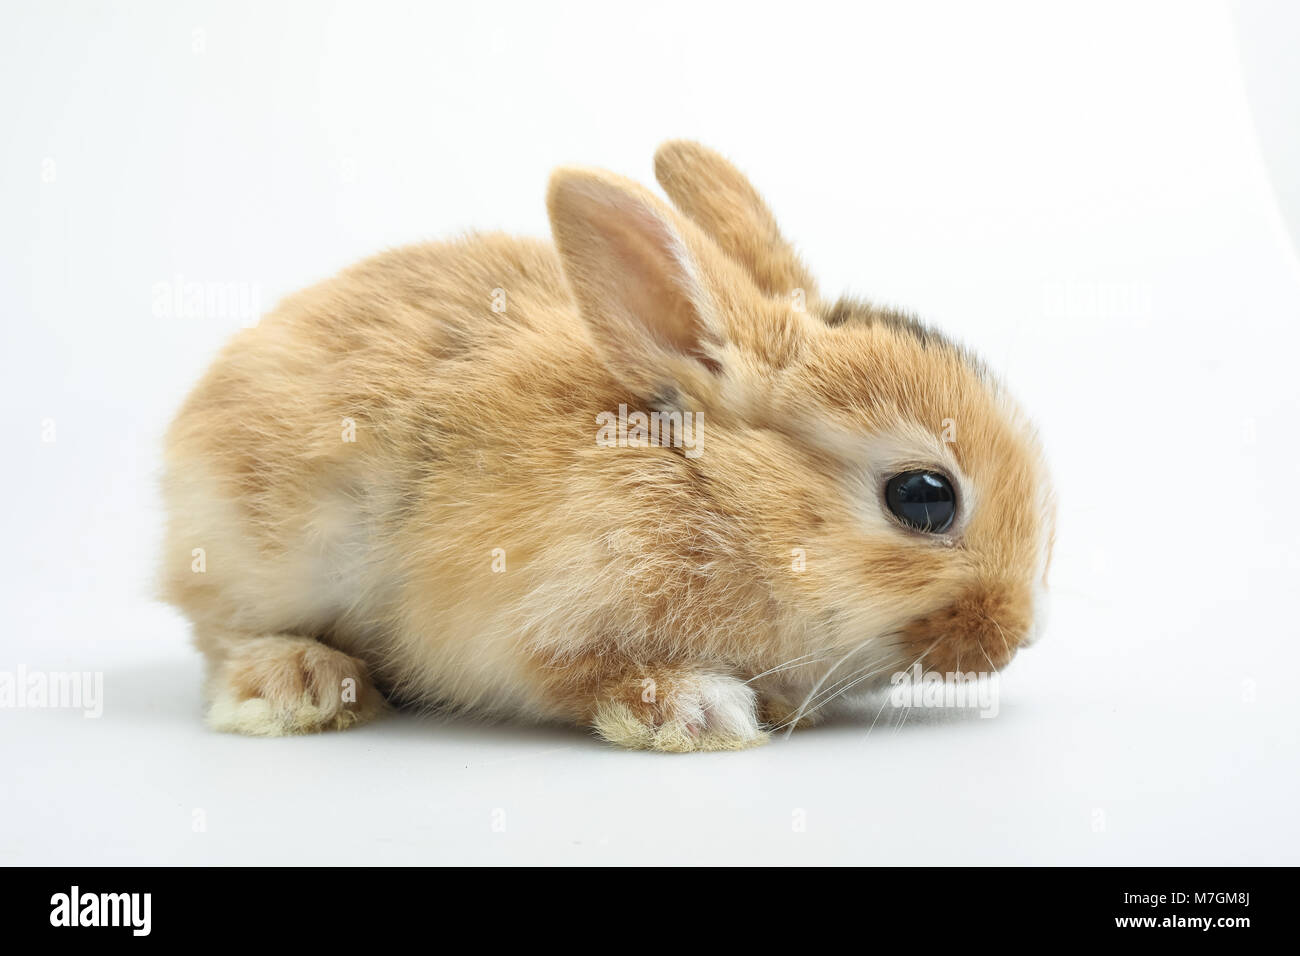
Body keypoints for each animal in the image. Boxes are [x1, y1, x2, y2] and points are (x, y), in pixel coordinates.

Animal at [159, 140, 1055, 752]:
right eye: (923, 497)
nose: (1019, 634)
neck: (719, 492)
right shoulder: (532, 620)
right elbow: (589, 675)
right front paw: (702, 712)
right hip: (260, 553)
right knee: (222, 637)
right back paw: (300, 685)